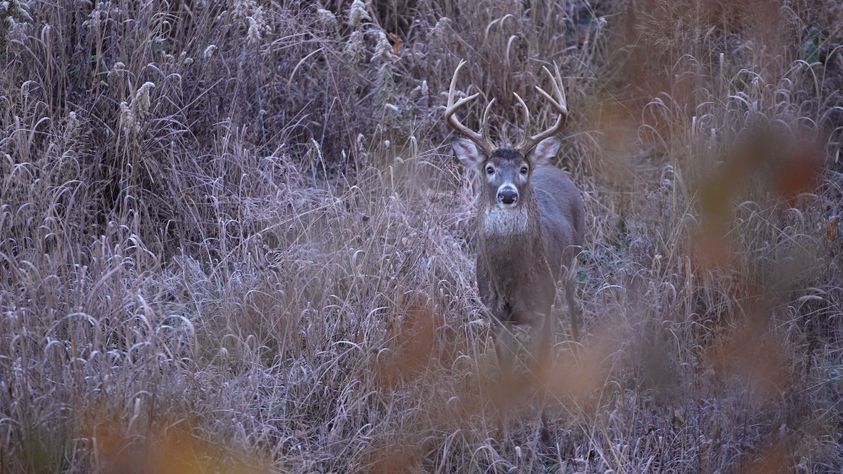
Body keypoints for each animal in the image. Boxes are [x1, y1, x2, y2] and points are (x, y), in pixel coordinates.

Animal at [448, 61, 588, 374]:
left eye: (523, 169)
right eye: (489, 168)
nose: (508, 194)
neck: (511, 280)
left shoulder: (542, 306)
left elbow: (541, 363)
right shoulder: (495, 314)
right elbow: (506, 368)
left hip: (573, 260)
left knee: (574, 309)